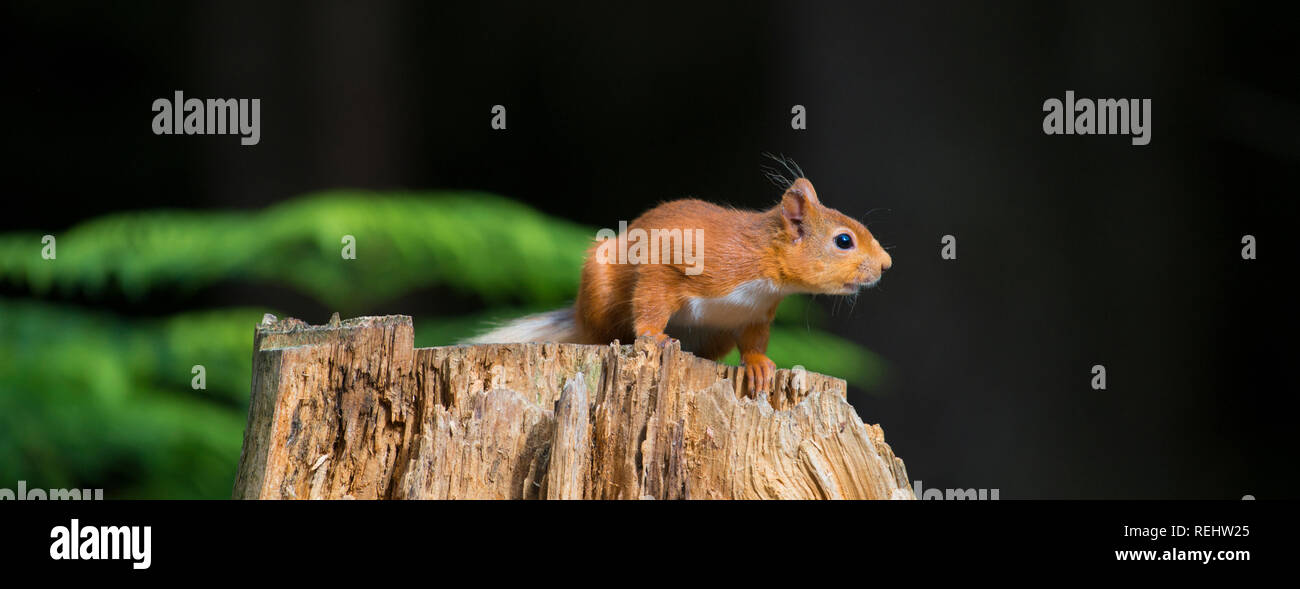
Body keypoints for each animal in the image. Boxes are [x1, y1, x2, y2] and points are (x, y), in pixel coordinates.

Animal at [465, 176, 892, 393]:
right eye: (843, 240)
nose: (886, 264)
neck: (762, 268)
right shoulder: (672, 262)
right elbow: (651, 299)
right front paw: (654, 336)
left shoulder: (756, 314)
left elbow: (754, 342)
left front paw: (758, 366)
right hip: (599, 295)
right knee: (598, 334)